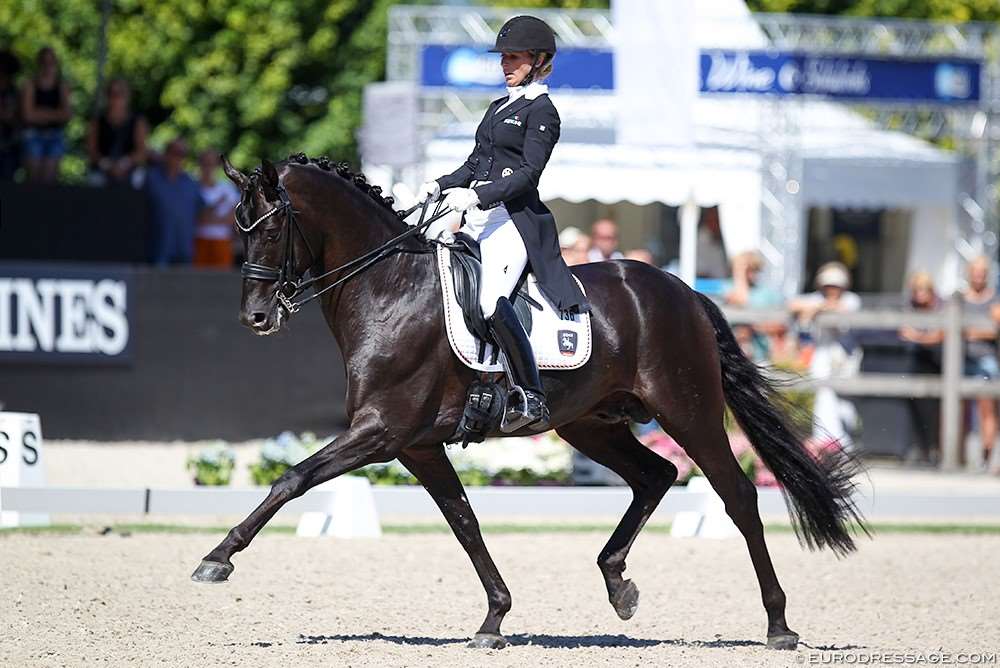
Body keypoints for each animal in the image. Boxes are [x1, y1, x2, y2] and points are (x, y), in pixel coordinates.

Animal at [191, 153, 865, 651]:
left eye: (271, 228)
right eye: (236, 230)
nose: (255, 317)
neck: (389, 289)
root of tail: (682, 291)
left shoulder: (381, 432)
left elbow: (291, 479)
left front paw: (216, 559)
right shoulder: (417, 445)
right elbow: (464, 521)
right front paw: (494, 619)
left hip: (688, 411)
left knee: (738, 495)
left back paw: (779, 625)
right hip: (590, 424)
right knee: (656, 474)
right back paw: (619, 586)